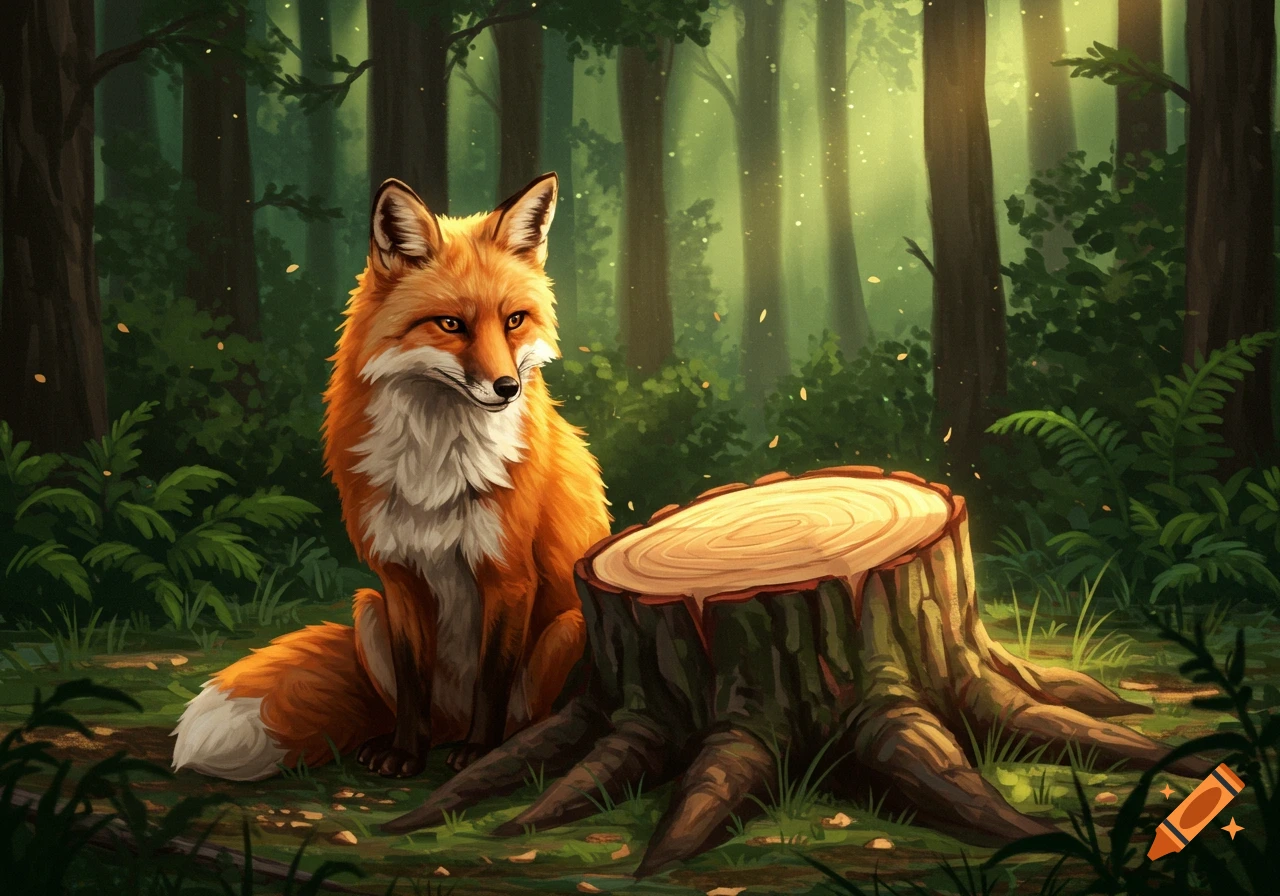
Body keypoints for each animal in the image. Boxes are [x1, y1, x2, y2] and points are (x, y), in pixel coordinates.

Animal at [170, 173, 610, 780]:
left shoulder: (508, 576)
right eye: (451, 324)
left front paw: (481, 752)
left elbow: (493, 682)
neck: (437, 466)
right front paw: (404, 753)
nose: (507, 388)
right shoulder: (398, 578)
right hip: (366, 613)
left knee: (524, 713)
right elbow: (411, 686)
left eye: (514, 320)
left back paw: (499, 744)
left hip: (568, 628)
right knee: (426, 712)